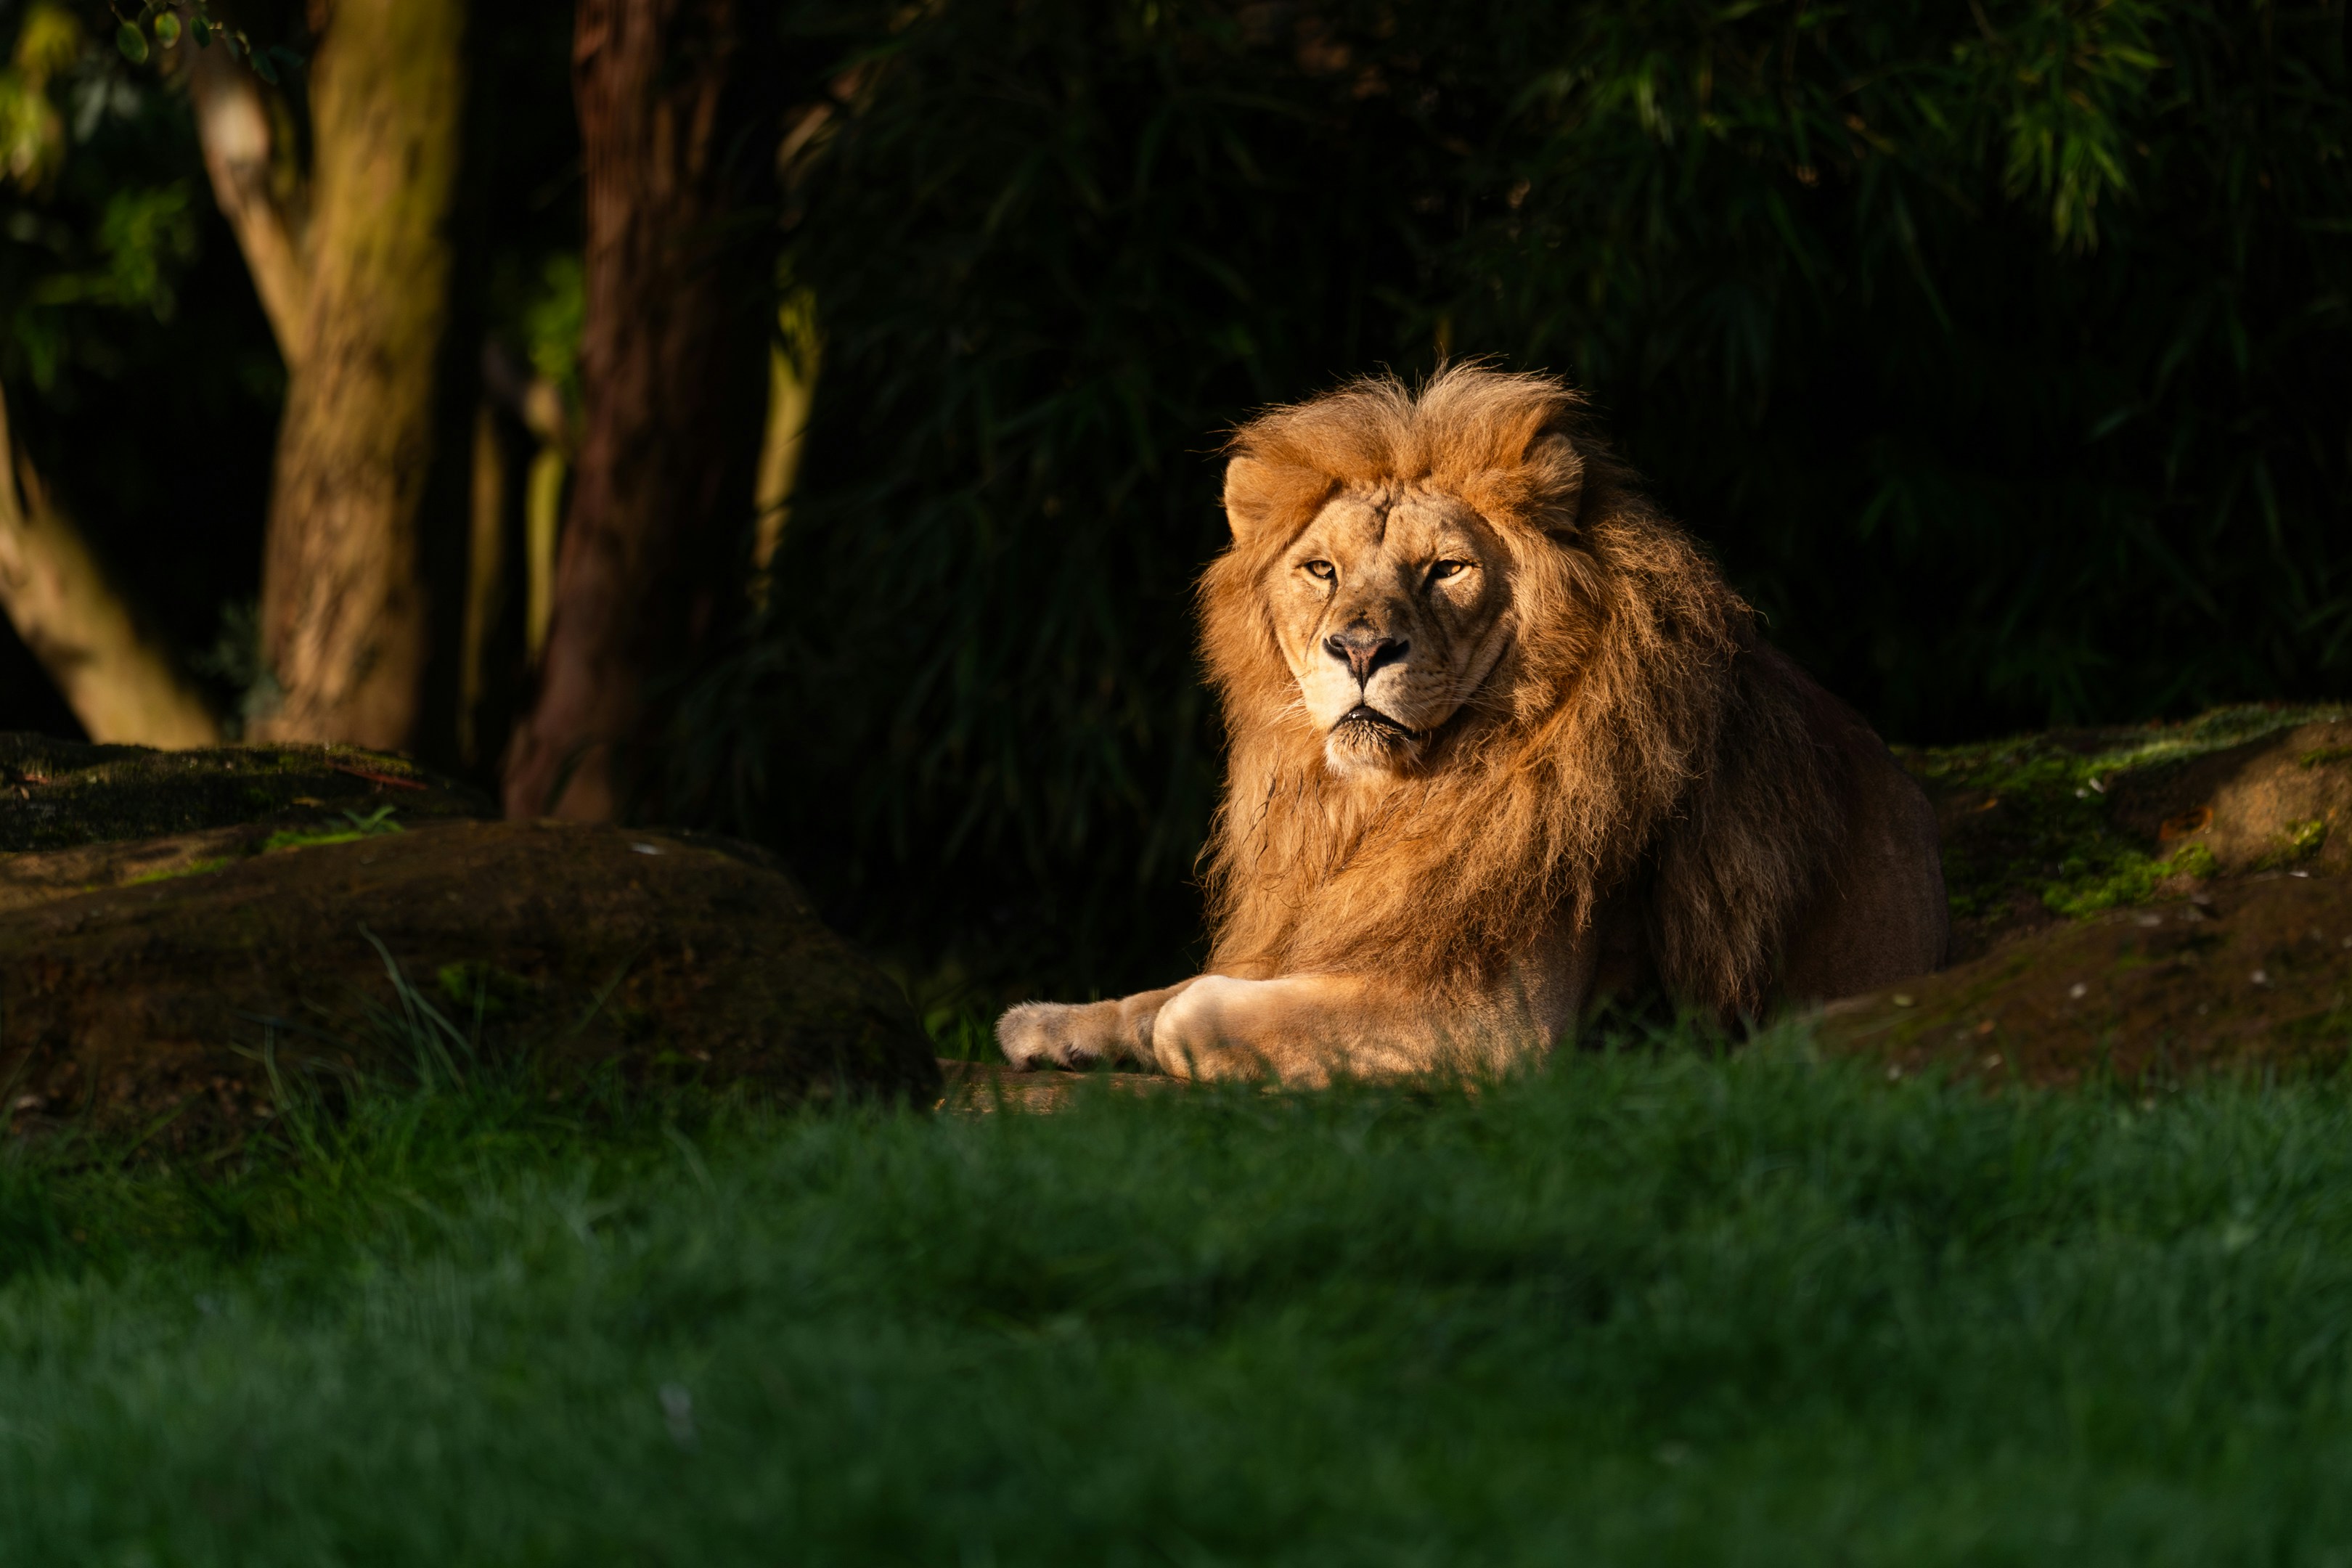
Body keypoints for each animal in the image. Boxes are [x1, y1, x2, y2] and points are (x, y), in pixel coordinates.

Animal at [998, 366, 1946, 1080]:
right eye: (1321, 570)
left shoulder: (1499, 1020)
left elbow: (1196, 1012)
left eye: (1446, 570)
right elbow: (1164, 994)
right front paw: (1047, 1023)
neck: (1388, 799)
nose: (1360, 649)